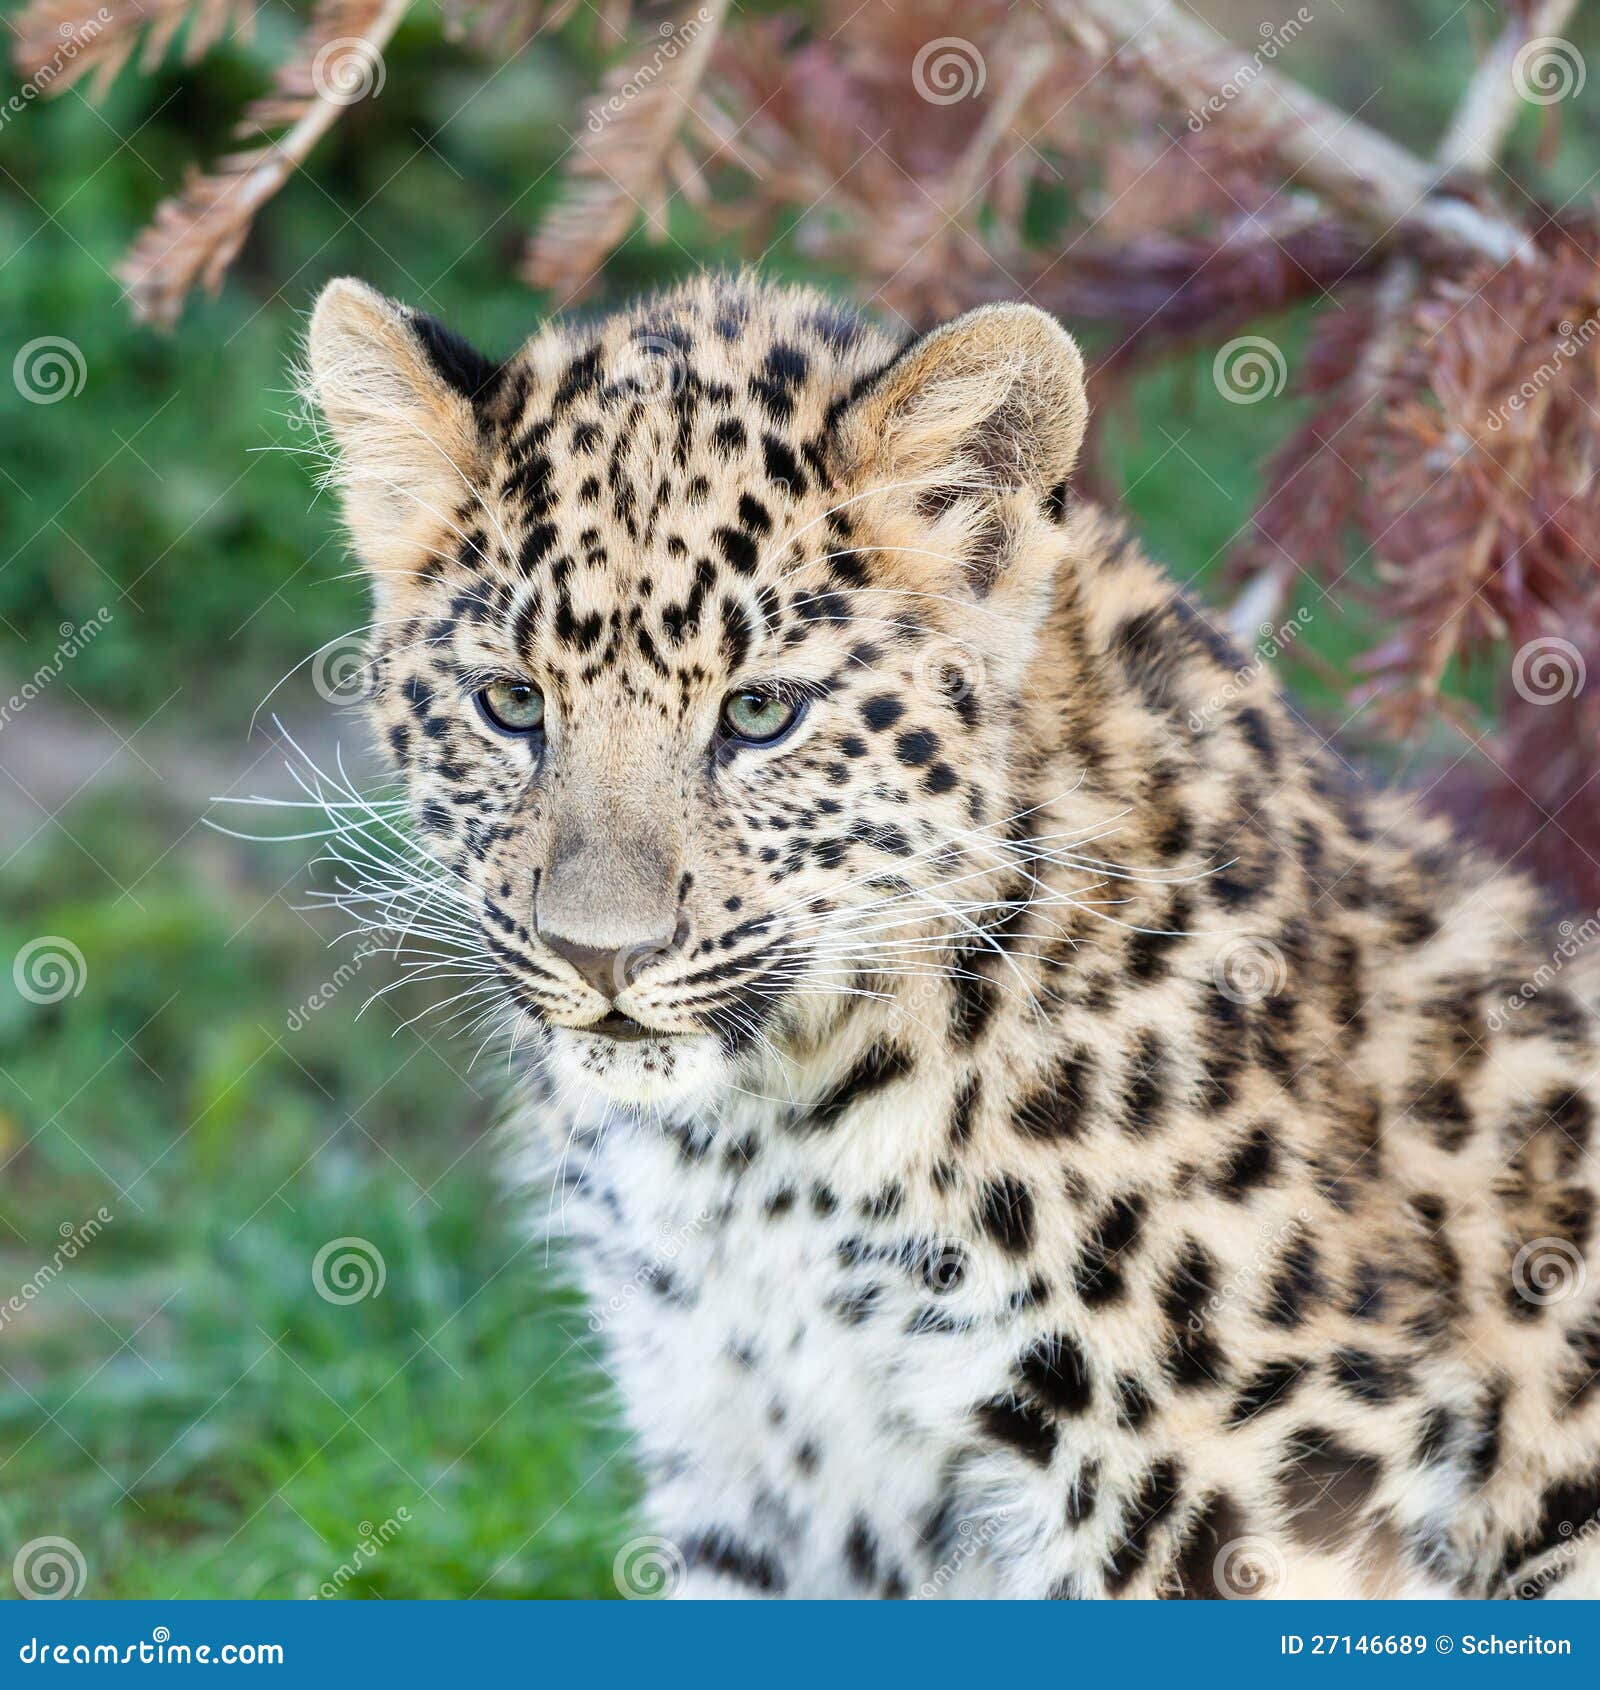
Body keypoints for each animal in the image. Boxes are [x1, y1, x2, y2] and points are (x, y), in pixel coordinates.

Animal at [299, 270, 1600, 1600]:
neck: (754, 1152)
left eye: (759, 713)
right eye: (512, 704)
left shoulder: (1244, 1464)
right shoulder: (743, 1449)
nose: (598, 953)